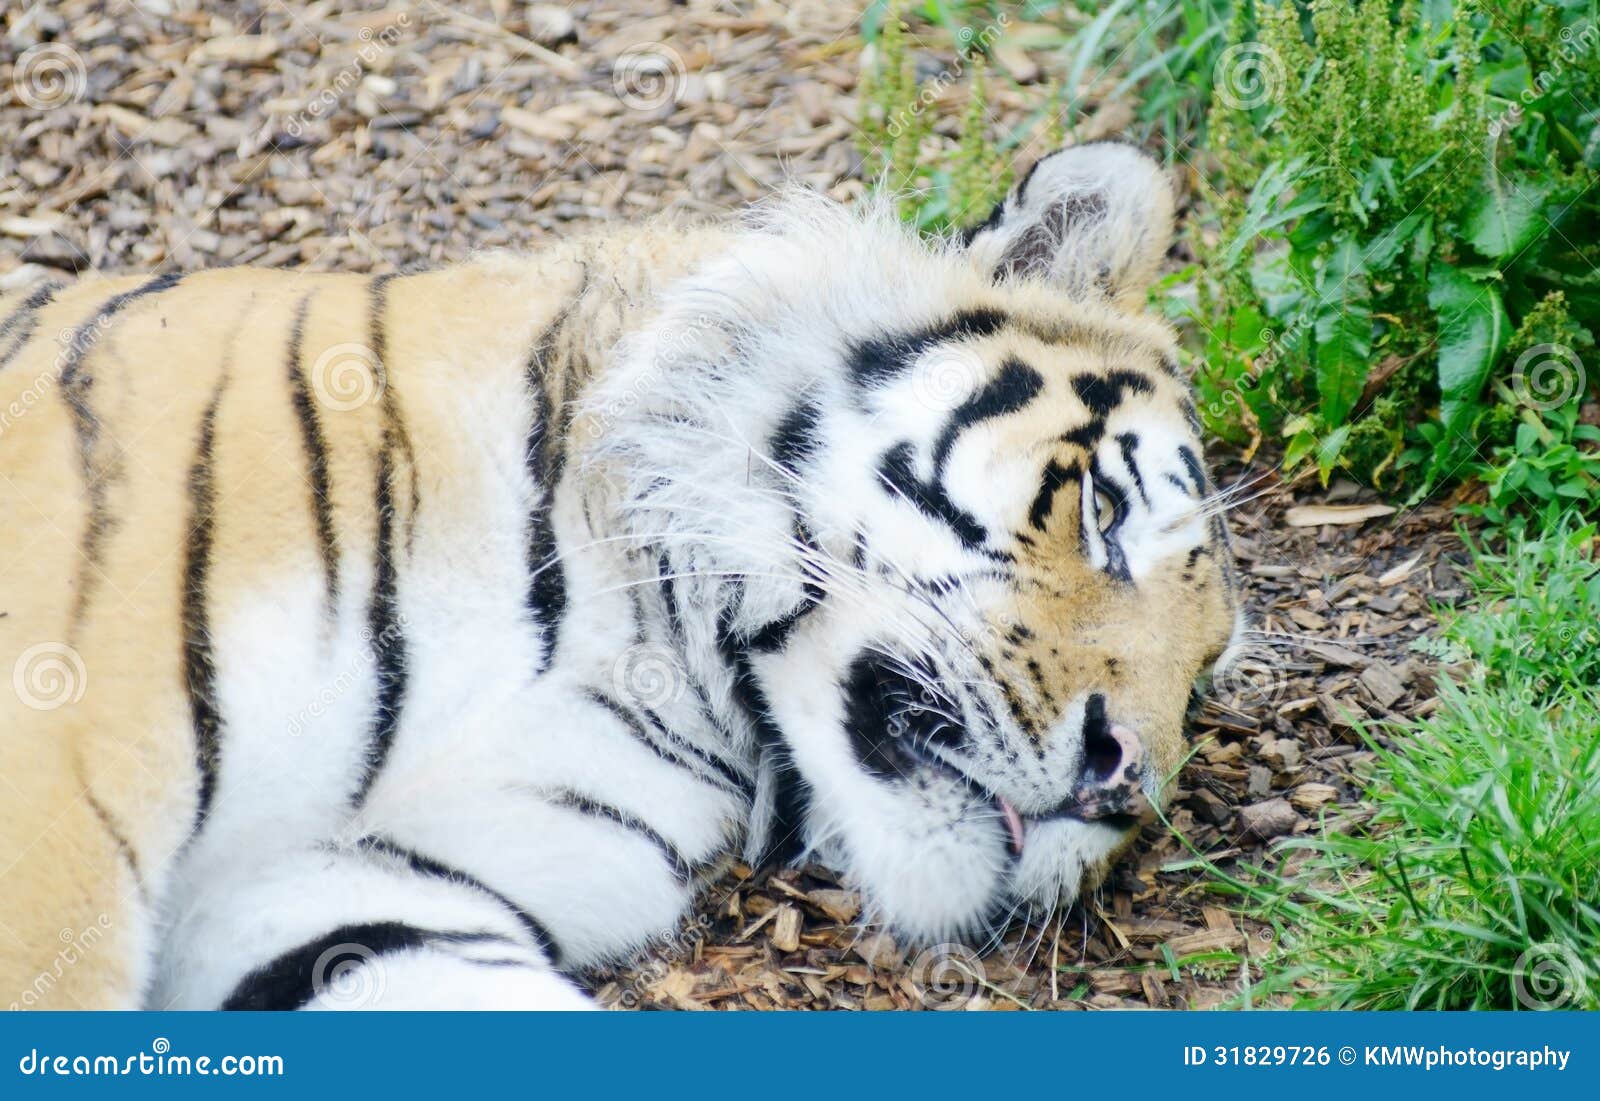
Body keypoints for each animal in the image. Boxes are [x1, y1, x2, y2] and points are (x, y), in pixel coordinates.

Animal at [0, 142, 1240, 1010]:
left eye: (1205, 671)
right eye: (1104, 510)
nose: (1121, 788)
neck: (654, 635)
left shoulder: (343, 888)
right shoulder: (54, 814)